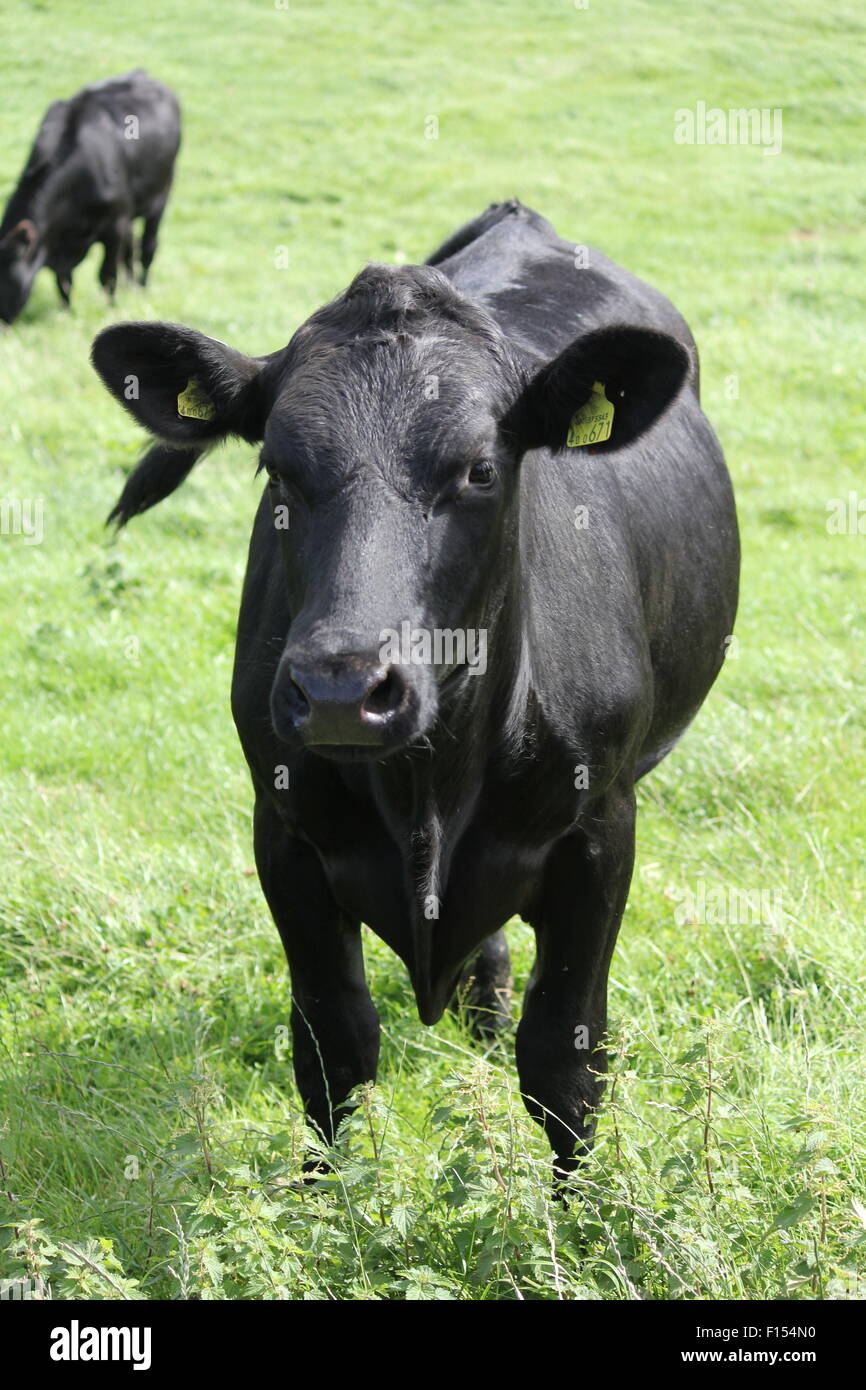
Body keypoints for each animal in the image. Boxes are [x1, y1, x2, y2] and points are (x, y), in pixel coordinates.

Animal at [0, 70, 180, 324]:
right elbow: (64, 280)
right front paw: (65, 313)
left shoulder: (114, 225)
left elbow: (107, 275)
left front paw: (111, 309)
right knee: (131, 248)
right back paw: (131, 287)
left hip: (162, 193)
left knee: (148, 246)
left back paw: (142, 288)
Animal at [91, 200, 739, 1185]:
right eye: (276, 467)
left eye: (480, 468)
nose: (340, 688)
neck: (427, 788)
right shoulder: (284, 832)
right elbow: (333, 1043)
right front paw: (326, 1206)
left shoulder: (601, 831)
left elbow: (566, 1056)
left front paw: (585, 1217)